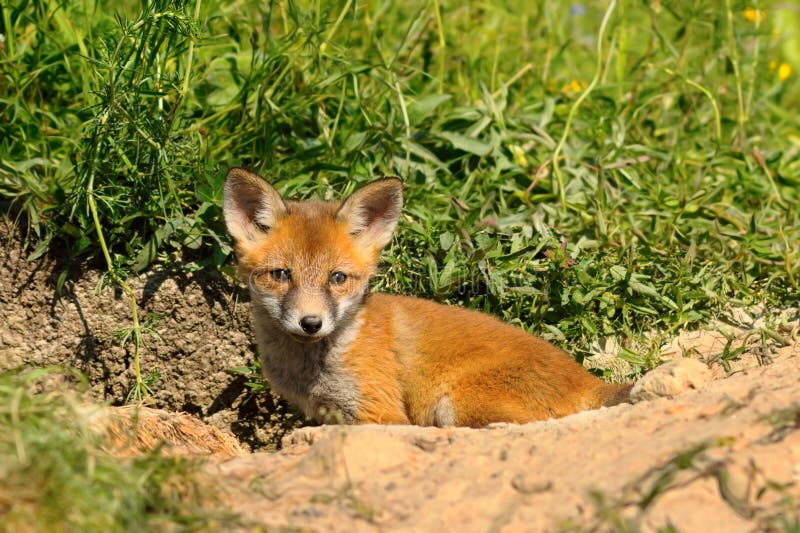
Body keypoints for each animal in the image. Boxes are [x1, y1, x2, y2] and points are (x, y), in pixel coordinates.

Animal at [223, 167, 632, 427]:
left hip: (453, 405)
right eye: (281, 275)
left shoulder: (381, 412)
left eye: (337, 278)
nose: (311, 323)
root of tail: (590, 381)